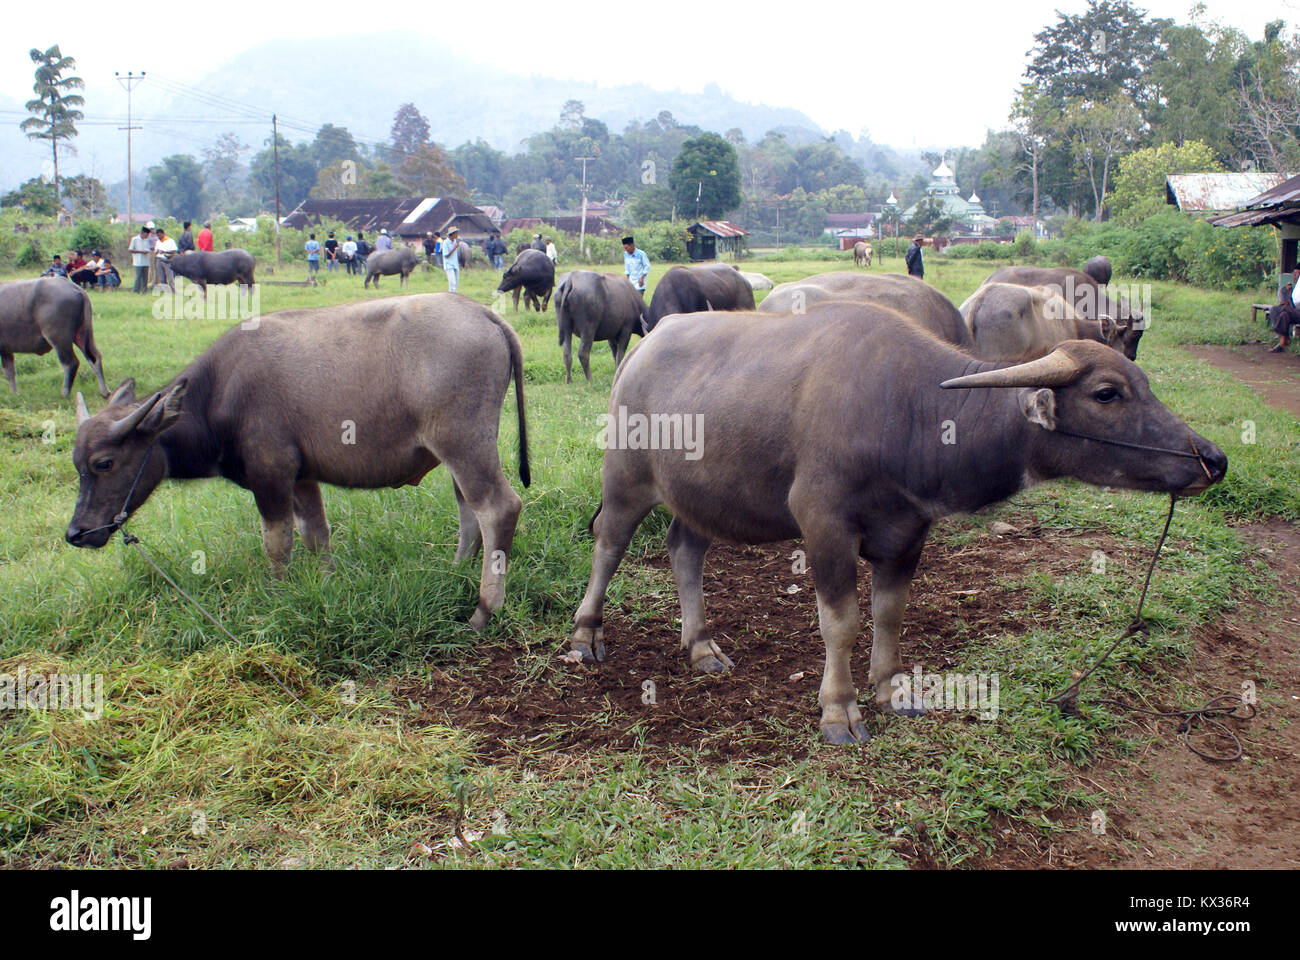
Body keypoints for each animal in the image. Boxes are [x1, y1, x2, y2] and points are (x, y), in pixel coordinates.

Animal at [66, 293, 530, 632]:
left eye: (104, 463)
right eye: (77, 464)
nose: (77, 533)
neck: (218, 393)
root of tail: (483, 313)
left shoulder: (270, 475)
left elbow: (277, 542)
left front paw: (278, 592)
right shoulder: (302, 477)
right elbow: (315, 534)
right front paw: (327, 581)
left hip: (464, 444)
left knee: (497, 509)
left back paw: (484, 608)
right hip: (460, 452)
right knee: (468, 511)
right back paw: (456, 571)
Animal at [567, 303, 1226, 744]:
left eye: (1144, 384)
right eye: (1108, 393)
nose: (1212, 460)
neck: (910, 410)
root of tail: (642, 349)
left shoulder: (907, 534)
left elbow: (889, 613)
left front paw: (891, 690)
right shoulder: (824, 524)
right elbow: (840, 623)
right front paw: (840, 710)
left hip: (701, 495)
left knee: (685, 549)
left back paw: (701, 646)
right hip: (625, 478)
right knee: (608, 543)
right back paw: (585, 635)